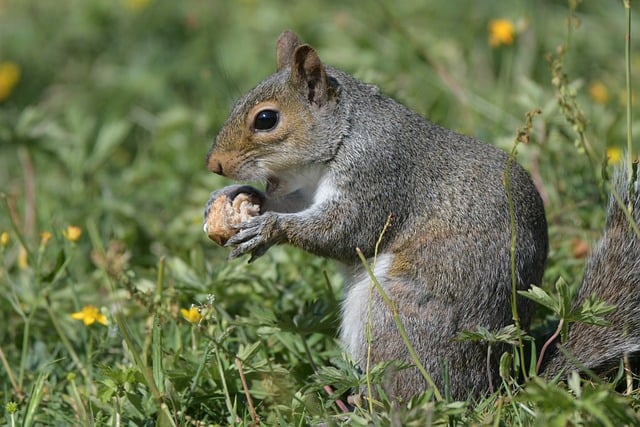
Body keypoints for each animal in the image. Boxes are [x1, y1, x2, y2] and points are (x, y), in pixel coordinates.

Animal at [204, 30, 640, 401]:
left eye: (266, 119)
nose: (214, 165)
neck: (344, 134)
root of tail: (493, 388)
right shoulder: (308, 189)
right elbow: (295, 205)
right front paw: (237, 199)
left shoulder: (379, 176)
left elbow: (344, 232)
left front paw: (268, 228)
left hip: (394, 317)